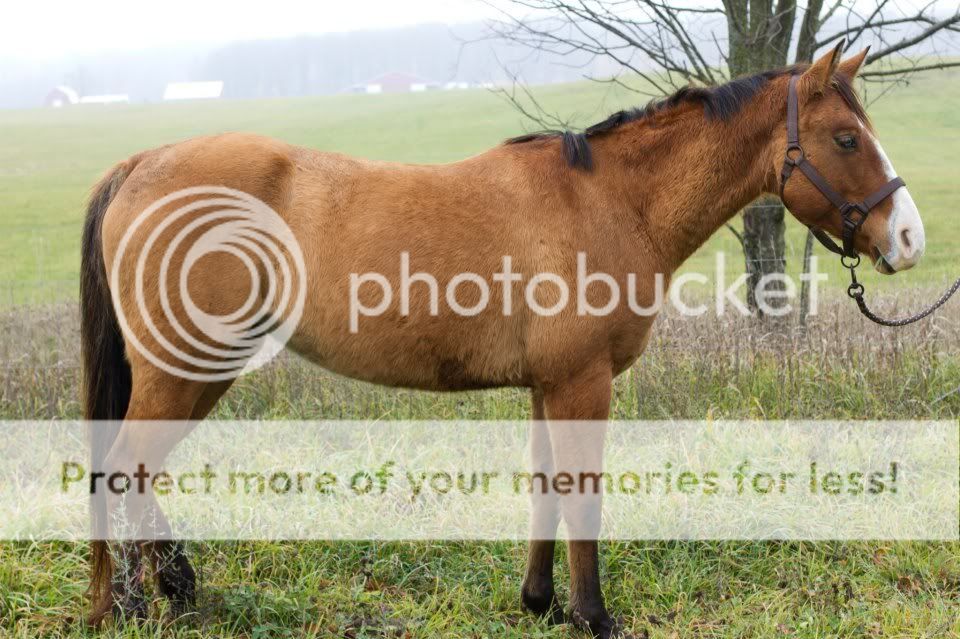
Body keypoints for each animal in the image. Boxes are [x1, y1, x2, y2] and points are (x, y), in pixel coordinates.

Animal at [79, 42, 924, 638]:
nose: (908, 238)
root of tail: (141, 163)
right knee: (125, 469)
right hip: (184, 369)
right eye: (846, 138)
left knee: (134, 472)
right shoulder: (583, 383)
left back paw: (162, 593)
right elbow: (581, 493)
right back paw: (137, 604)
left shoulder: (548, 386)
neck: (608, 199)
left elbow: (546, 488)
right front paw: (593, 615)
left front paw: (541, 600)